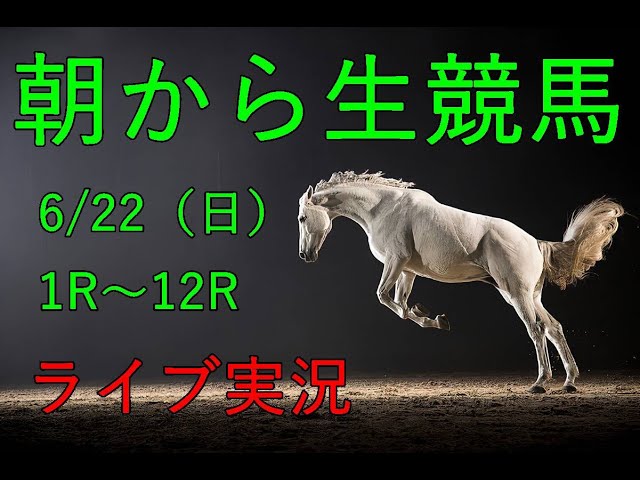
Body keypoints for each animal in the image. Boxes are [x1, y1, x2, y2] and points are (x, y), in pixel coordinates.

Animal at [297, 171, 624, 393]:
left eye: (302, 218)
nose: (305, 255)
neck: (384, 208)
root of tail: (535, 243)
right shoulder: (407, 270)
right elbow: (400, 304)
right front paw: (433, 318)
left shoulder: (396, 261)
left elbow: (383, 297)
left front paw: (431, 317)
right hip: (527, 295)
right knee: (554, 327)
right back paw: (569, 381)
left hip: (517, 294)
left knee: (537, 329)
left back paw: (540, 383)